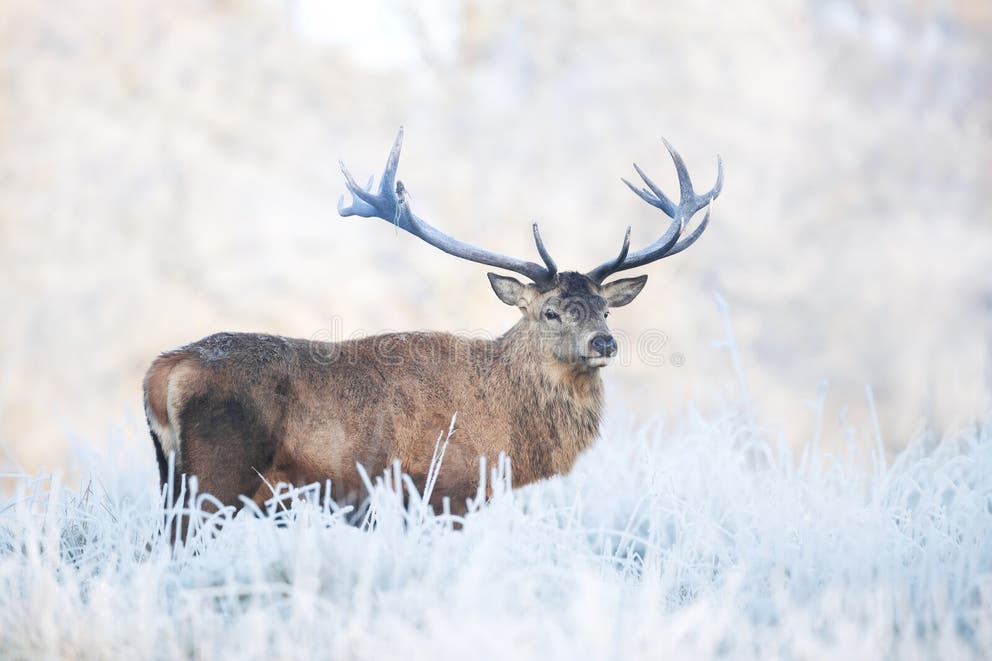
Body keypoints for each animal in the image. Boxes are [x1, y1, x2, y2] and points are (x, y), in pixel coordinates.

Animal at [143, 129, 722, 526]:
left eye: (606, 308)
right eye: (550, 311)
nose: (604, 341)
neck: (511, 431)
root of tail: (162, 372)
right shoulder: (447, 492)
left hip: (173, 480)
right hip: (218, 478)